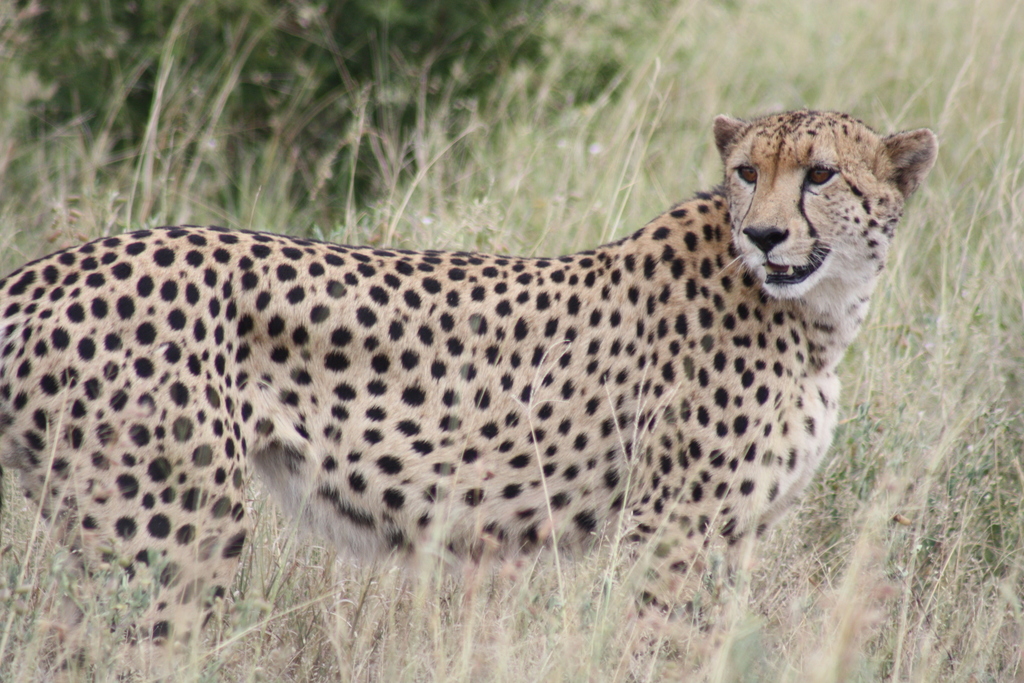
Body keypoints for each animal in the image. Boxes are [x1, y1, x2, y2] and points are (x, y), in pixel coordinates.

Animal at [0, 110, 936, 655]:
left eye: (821, 173)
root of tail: (48, 268)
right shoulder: (670, 532)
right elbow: (658, 647)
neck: (815, 308)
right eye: (748, 171)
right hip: (176, 541)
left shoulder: (727, 534)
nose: (768, 235)